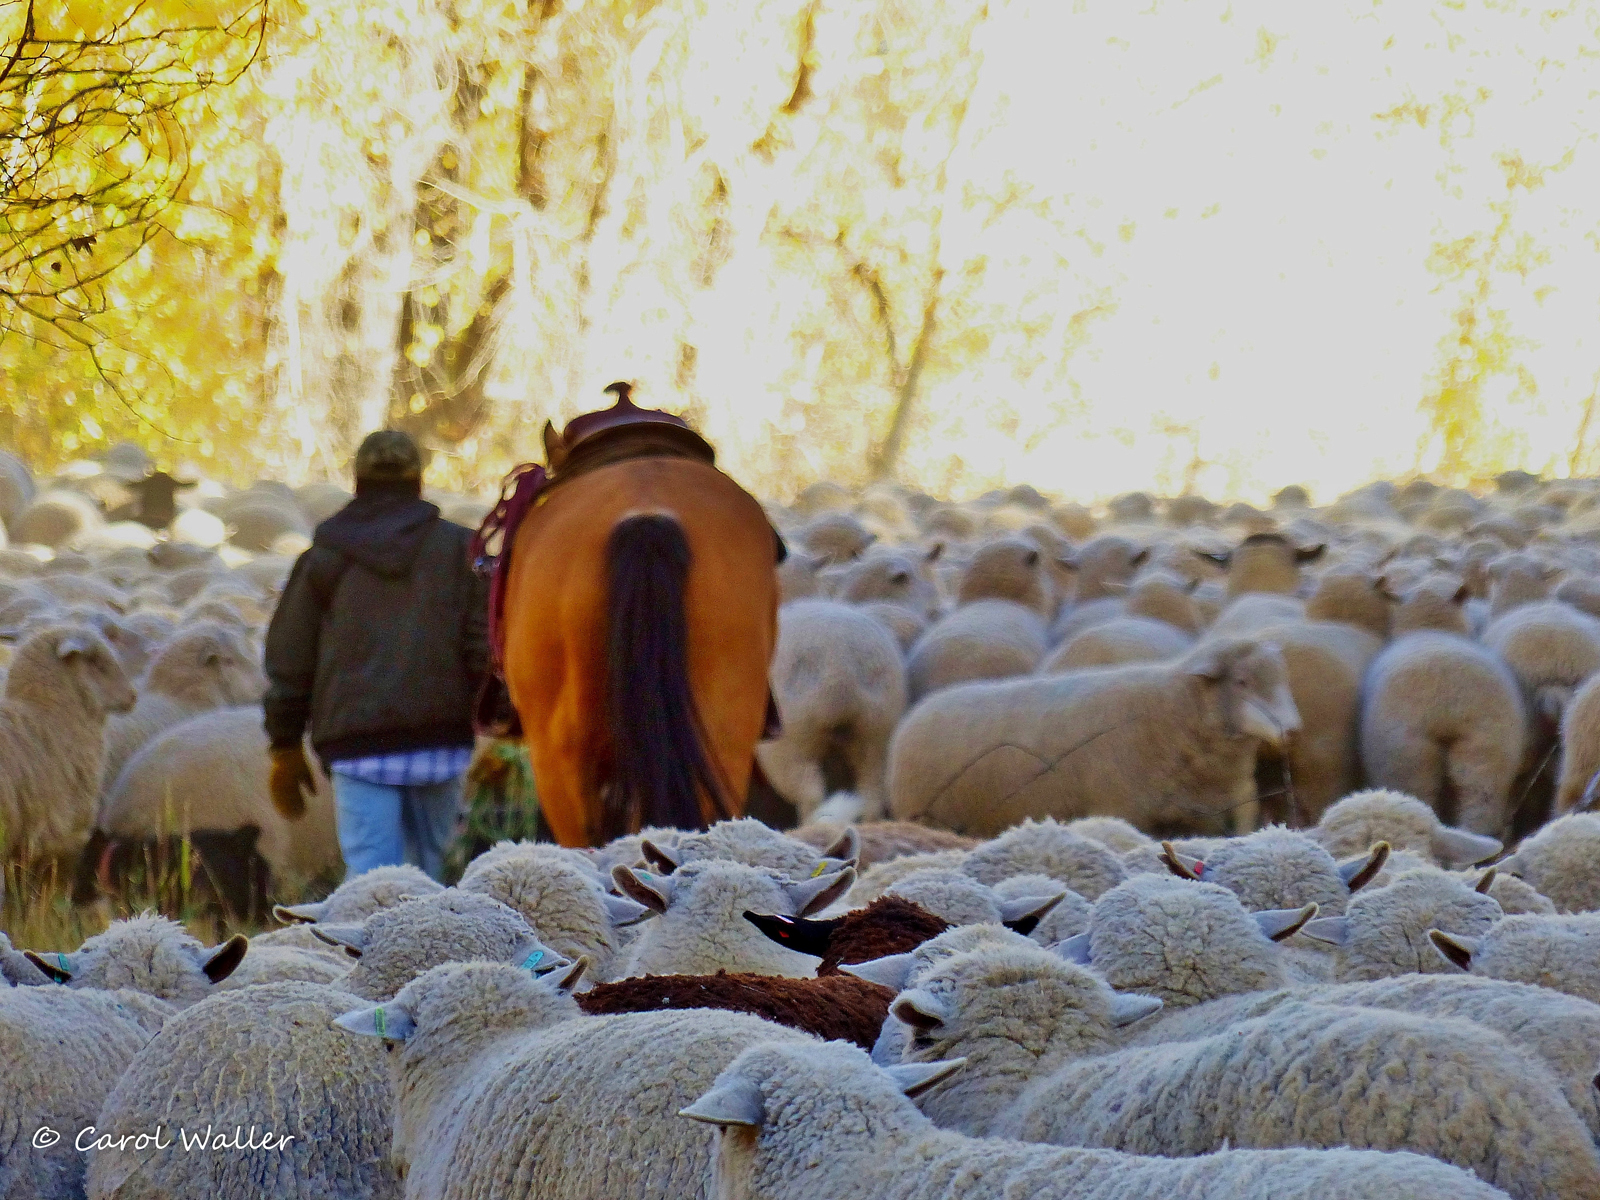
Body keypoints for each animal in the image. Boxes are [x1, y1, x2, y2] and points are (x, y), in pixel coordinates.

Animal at [889, 638, 1300, 838]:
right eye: (1243, 682)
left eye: (1282, 679)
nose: (1292, 730)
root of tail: (917, 711)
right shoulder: (1121, 808)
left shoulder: (1227, 810)